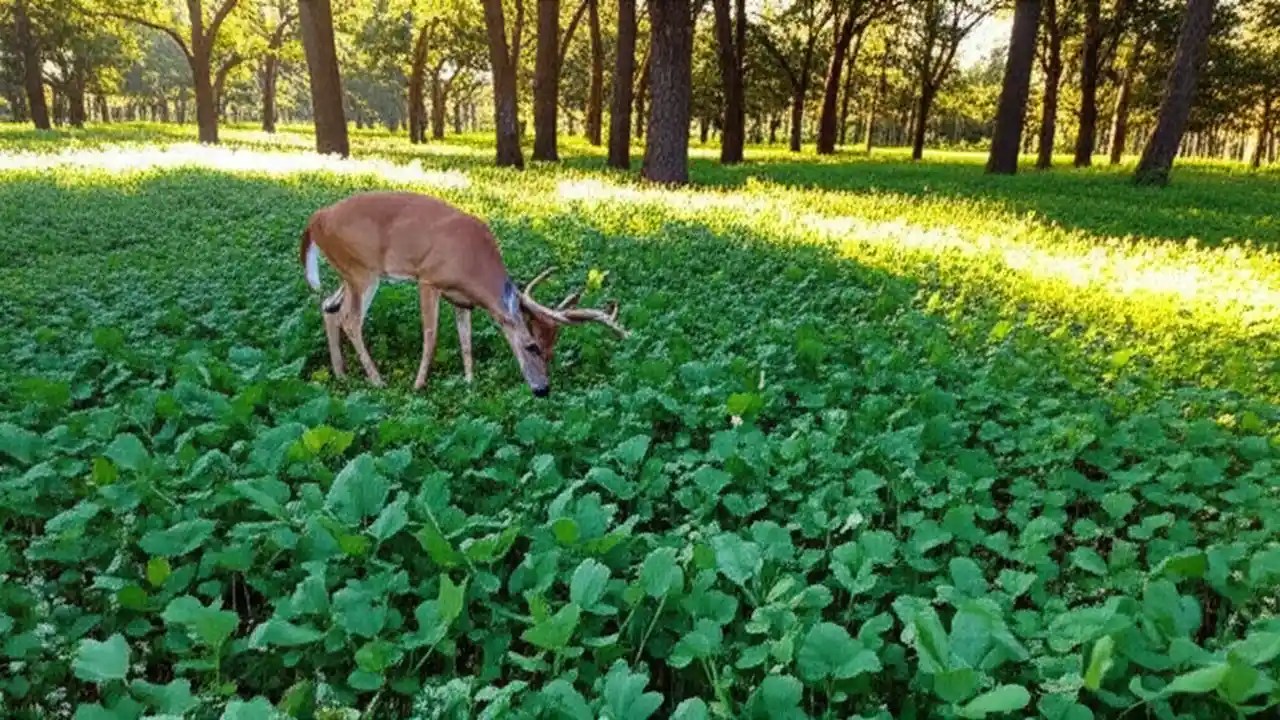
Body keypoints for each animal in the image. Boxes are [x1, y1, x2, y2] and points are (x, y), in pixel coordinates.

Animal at [298, 190, 628, 398]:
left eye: (551, 351)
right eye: (531, 346)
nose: (543, 390)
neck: (475, 266)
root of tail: (315, 219)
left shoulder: (462, 300)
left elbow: (465, 340)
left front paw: (469, 382)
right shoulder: (428, 279)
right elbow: (431, 336)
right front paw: (418, 385)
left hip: (348, 273)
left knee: (329, 307)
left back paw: (341, 374)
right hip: (361, 270)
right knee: (350, 320)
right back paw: (377, 380)